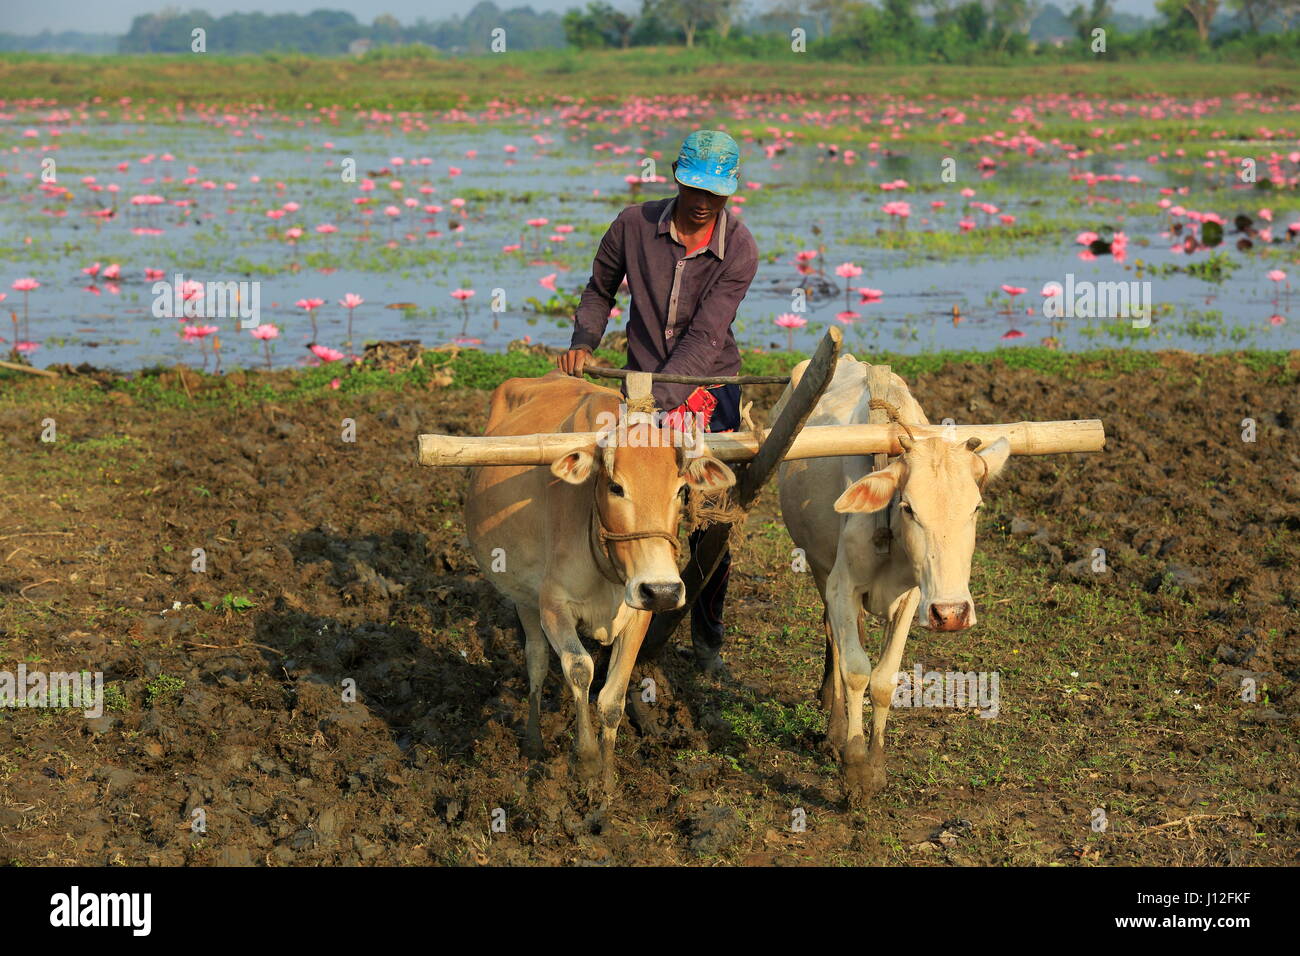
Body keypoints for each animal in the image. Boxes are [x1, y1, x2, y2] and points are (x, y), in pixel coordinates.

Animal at [465, 371, 736, 793]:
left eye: (680, 490)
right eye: (616, 487)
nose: (662, 589)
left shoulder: (640, 612)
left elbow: (612, 697)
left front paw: (607, 781)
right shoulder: (553, 605)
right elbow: (580, 669)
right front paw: (588, 760)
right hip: (523, 595)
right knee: (537, 661)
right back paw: (533, 740)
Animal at [776, 356, 1011, 804]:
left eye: (976, 507)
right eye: (908, 507)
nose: (951, 613)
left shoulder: (913, 598)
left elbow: (884, 680)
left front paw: (877, 766)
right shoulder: (842, 586)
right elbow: (855, 670)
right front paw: (854, 767)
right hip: (818, 565)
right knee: (835, 638)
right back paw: (834, 730)